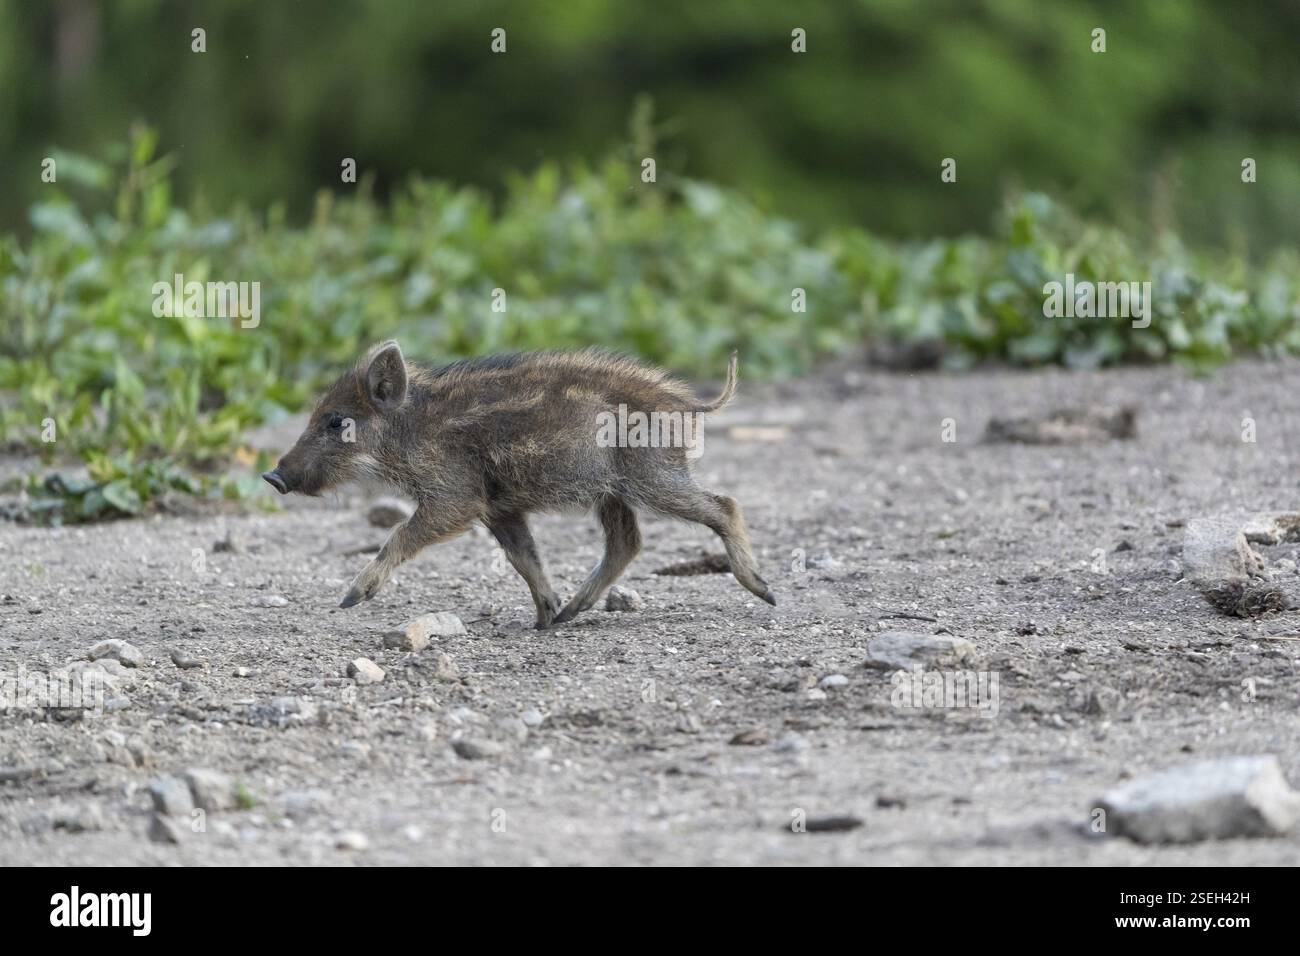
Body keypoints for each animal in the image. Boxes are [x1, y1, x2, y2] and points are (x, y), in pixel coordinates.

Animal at [262, 341, 776, 627]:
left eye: (336, 421)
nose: (273, 476)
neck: (416, 430)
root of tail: (690, 404)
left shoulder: (456, 496)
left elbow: (401, 534)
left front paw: (350, 599)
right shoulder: (501, 508)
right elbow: (523, 558)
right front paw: (543, 617)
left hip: (653, 477)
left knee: (724, 504)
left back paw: (764, 591)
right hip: (613, 491)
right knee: (626, 542)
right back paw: (568, 613)